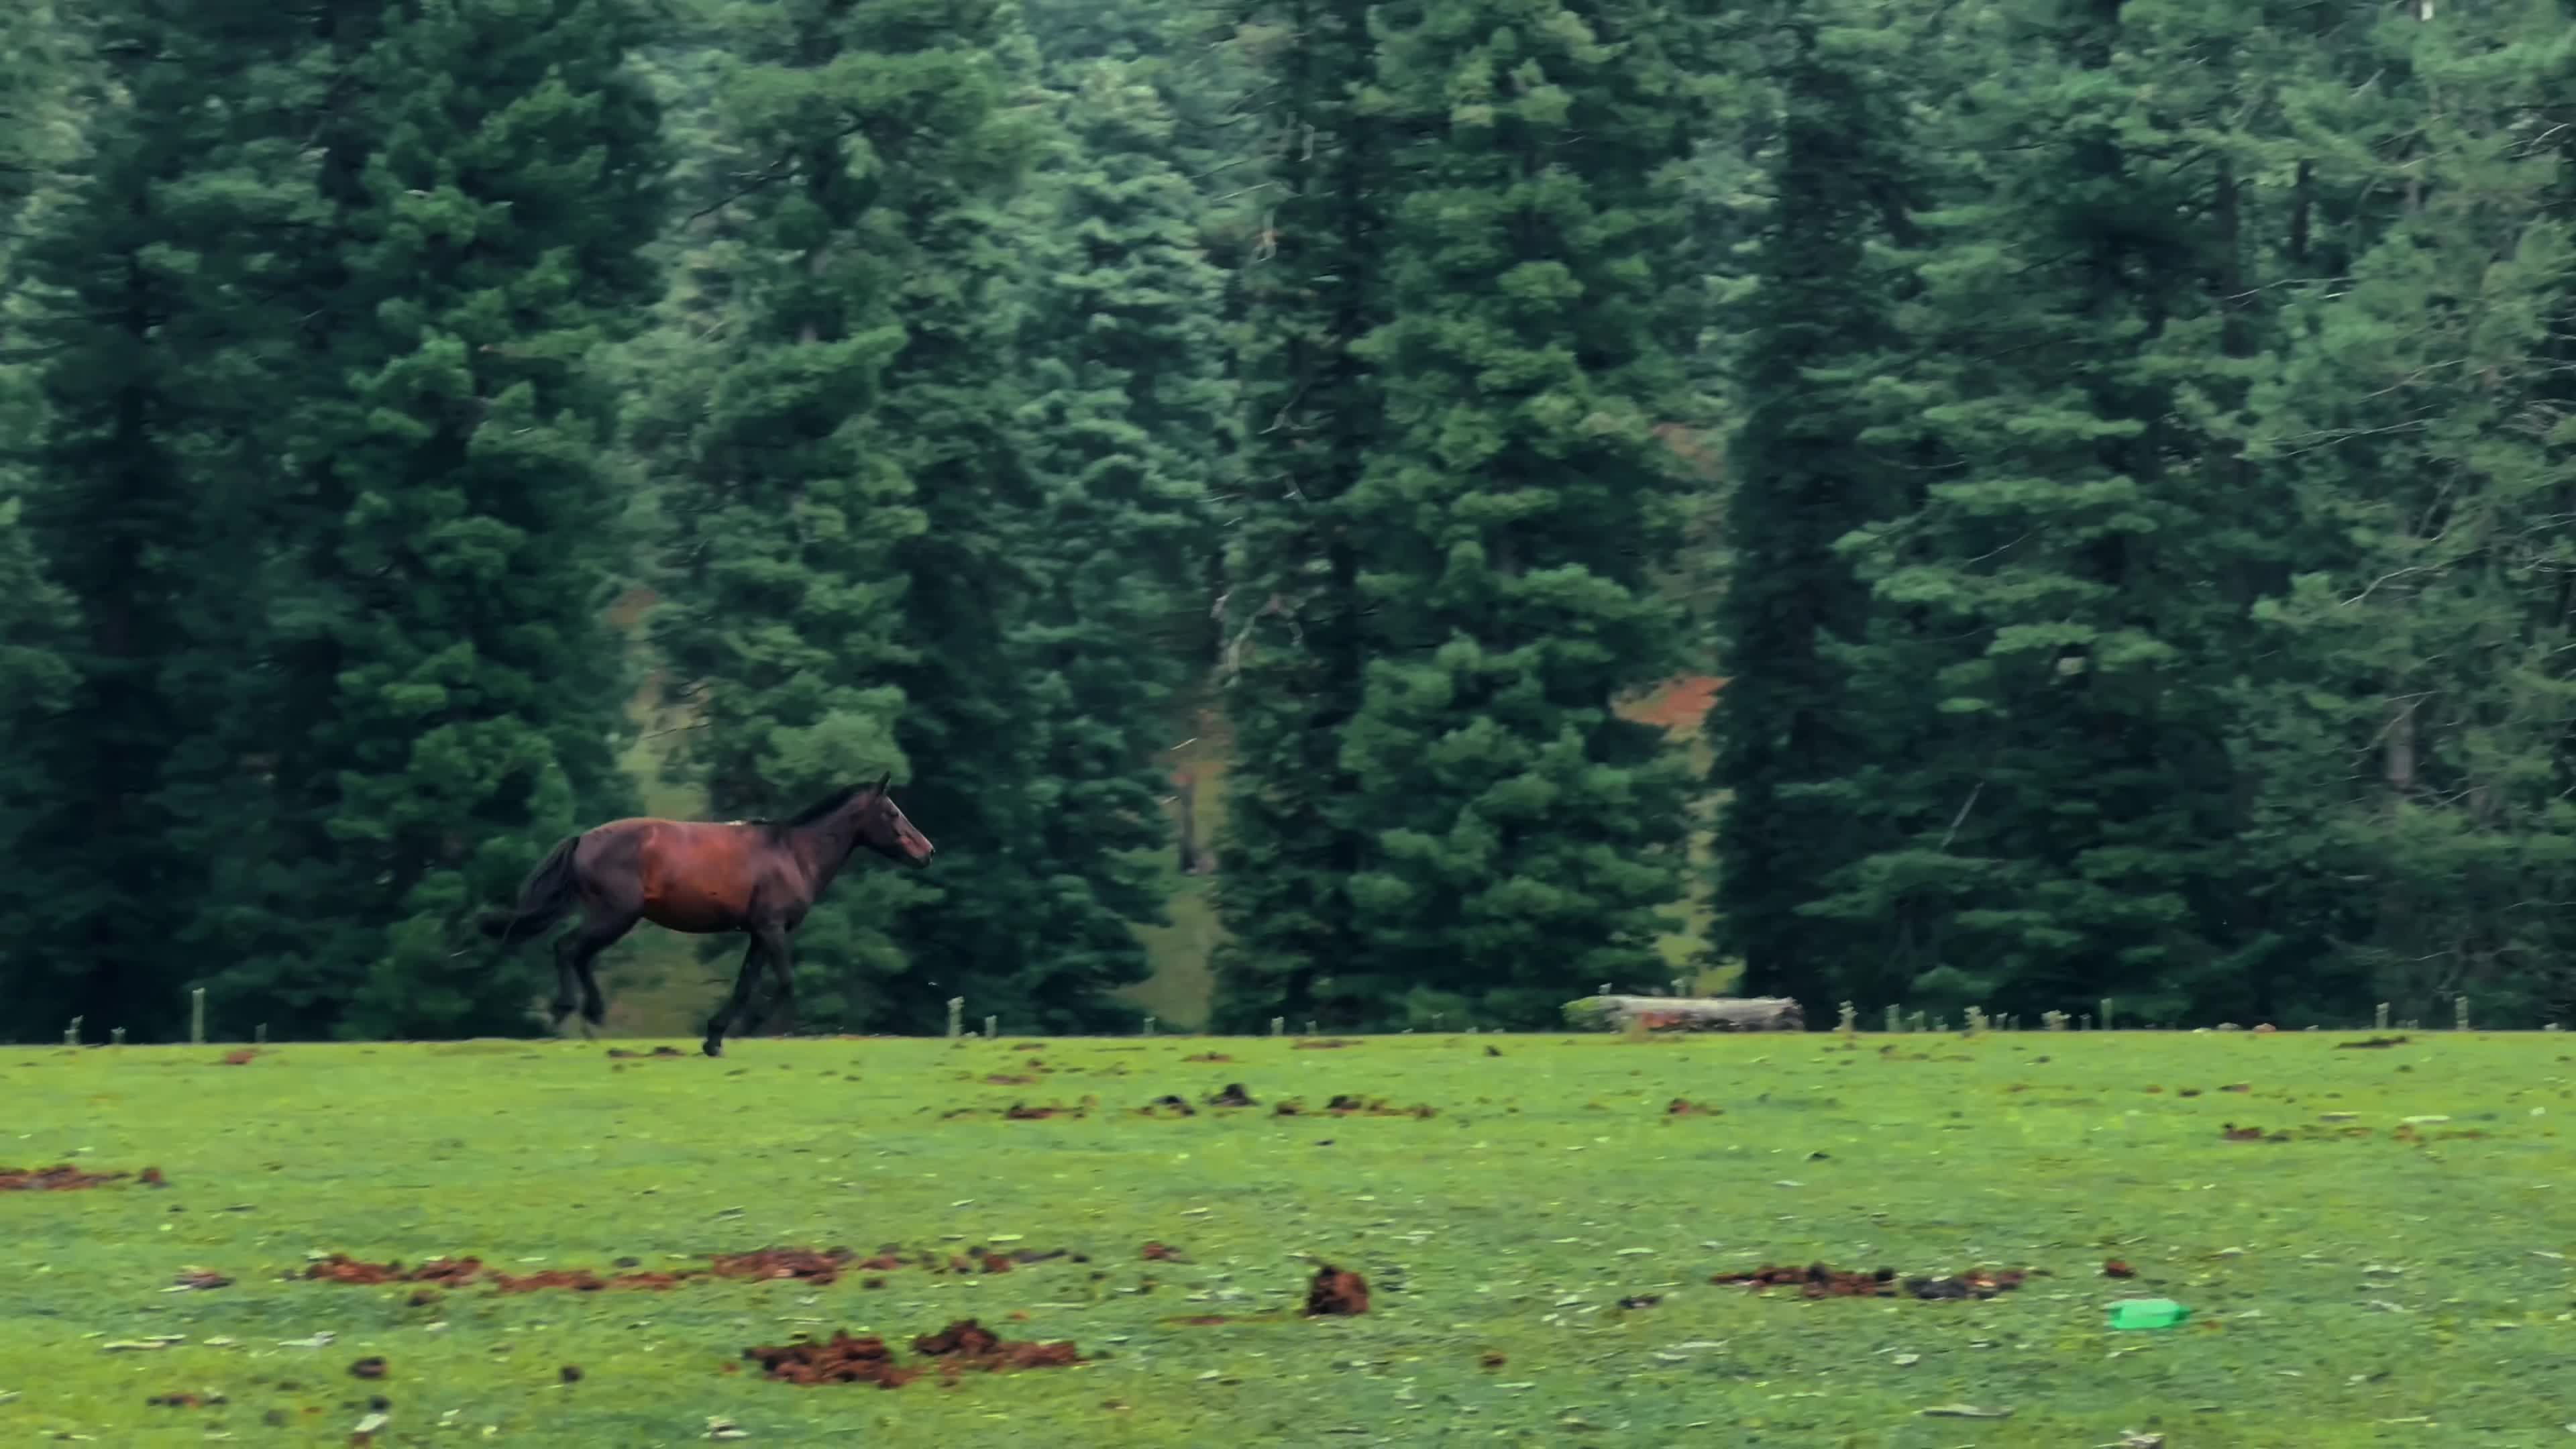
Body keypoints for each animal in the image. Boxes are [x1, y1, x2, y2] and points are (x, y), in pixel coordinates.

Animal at [475, 774, 935, 1056]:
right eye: (893, 812)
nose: (927, 852)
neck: (792, 854)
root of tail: (582, 839)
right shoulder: (773, 929)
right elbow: (784, 982)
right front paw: (745, 1028)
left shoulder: (757, 933)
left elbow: (746, 985)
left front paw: (715, 1037)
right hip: (616, 916)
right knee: (568, 948)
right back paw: (567, 1010)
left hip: (614, 918)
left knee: (578, 953)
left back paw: (592, 1013)